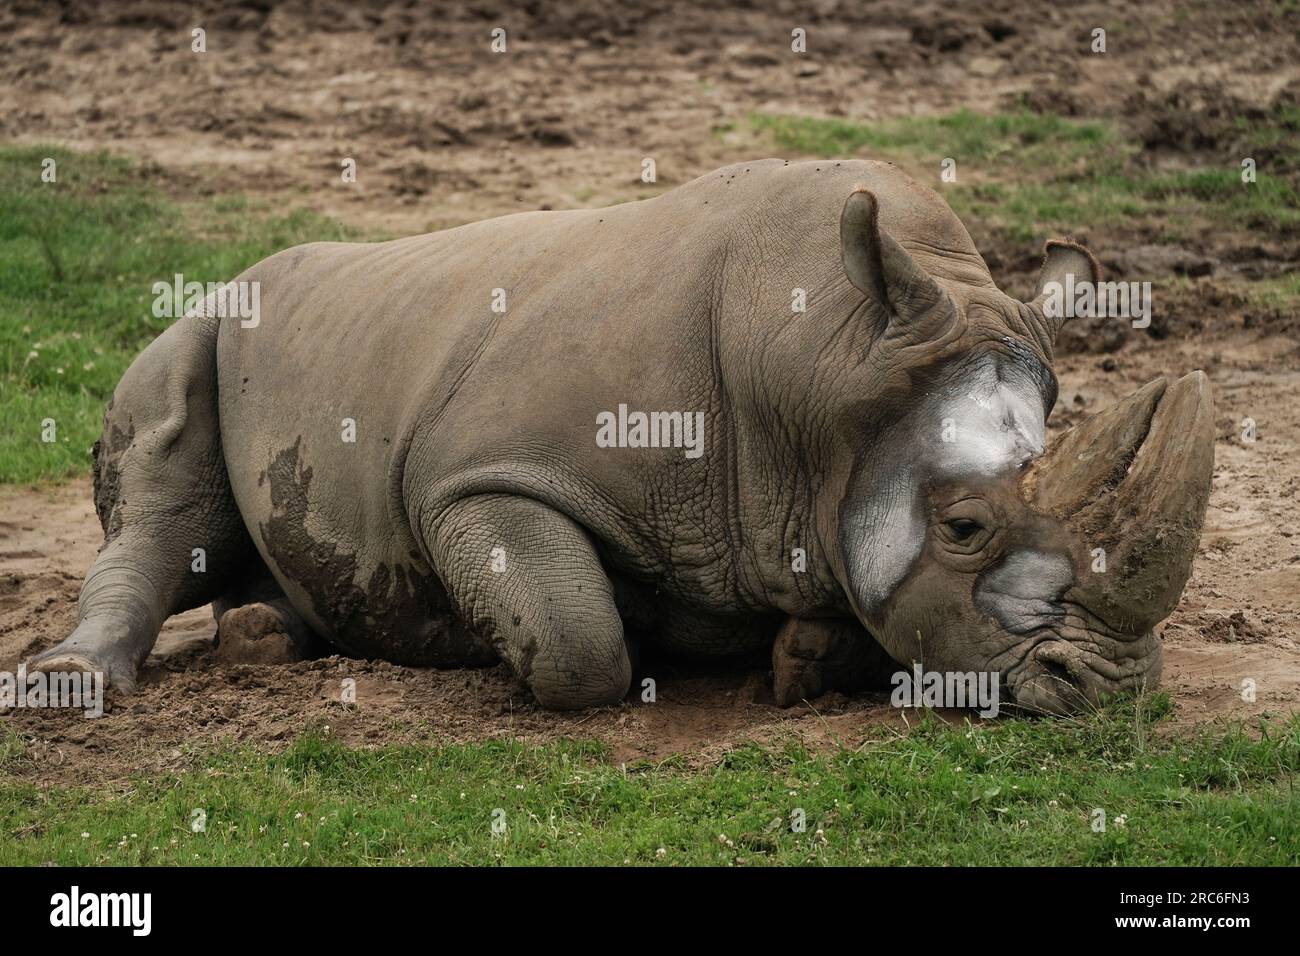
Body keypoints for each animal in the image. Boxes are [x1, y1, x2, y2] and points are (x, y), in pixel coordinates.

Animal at [29, 159, 1214, 714]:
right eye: (965, 529)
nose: (1113, 691)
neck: (824, 371)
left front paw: (802, 657)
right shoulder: (480, 477)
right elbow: (576, 641)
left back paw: (265, 637)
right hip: (205, 321)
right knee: (165, 498)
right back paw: (75, 685)